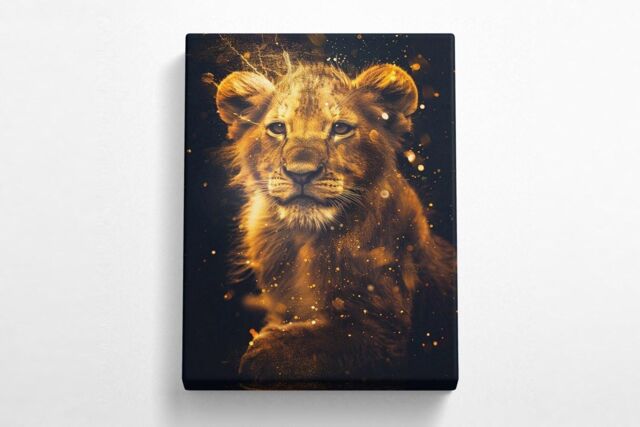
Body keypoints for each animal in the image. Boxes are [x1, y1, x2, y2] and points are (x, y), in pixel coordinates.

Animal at [211, 62, 456, 385]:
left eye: (340, 128)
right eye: (278, 128)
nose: (301, 173)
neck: (303, 239)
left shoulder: (385, 333)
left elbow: (322, 340)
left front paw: (263, 350)